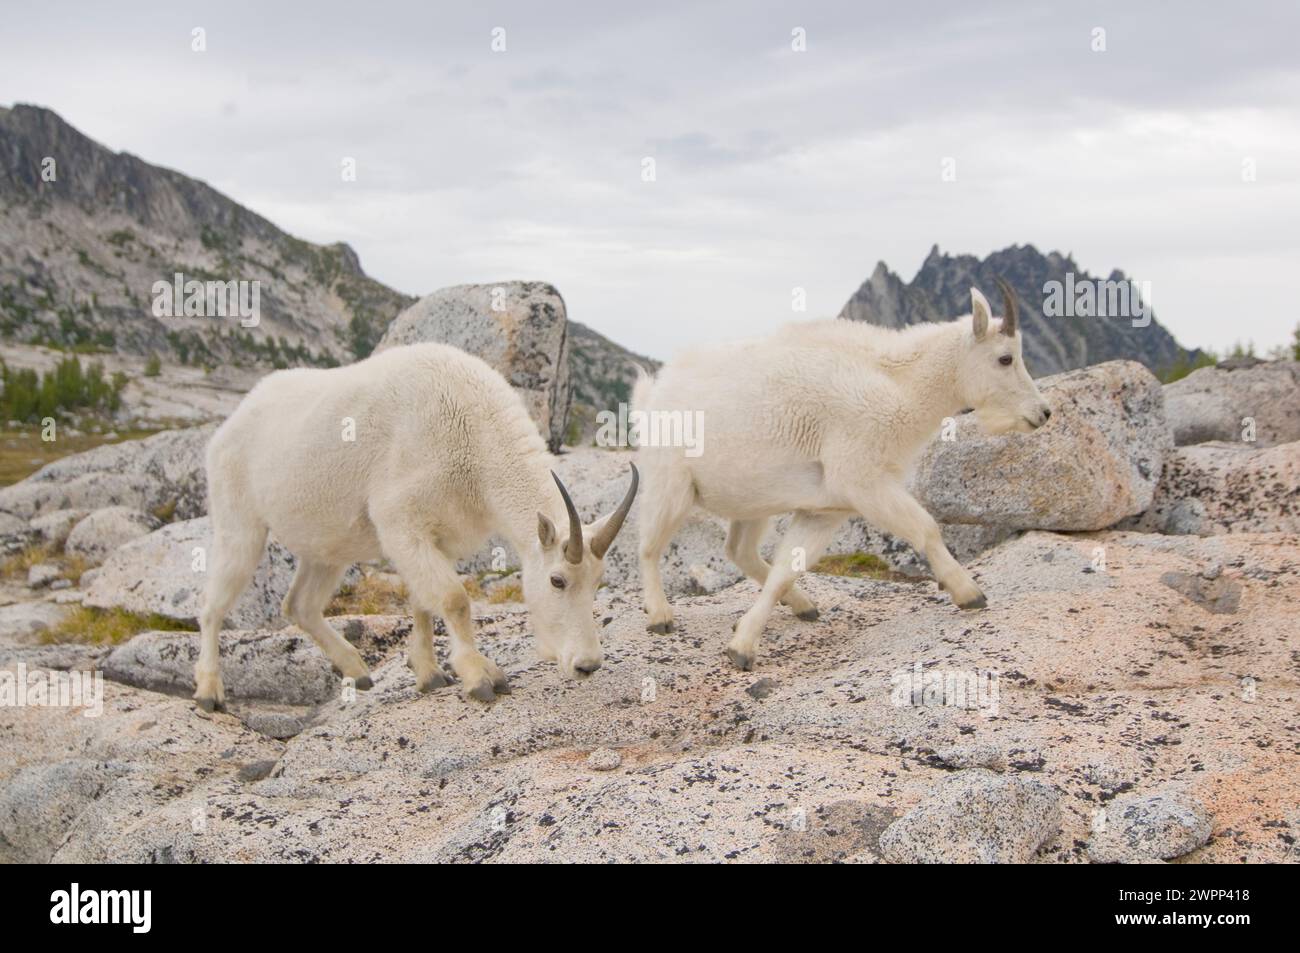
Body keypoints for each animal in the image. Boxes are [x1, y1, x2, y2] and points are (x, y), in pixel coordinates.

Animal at [194, 342, 637, 710]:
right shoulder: (400, 521)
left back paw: (357, 670)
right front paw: (479, 676)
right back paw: (208, 692)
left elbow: (423, 601)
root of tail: (228, 427)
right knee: (213, 606)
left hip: (326, 547)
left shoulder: (434, 537)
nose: (587, 665)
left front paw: (429, 675)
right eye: (557, 580)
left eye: (597, 582)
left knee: (298, 604)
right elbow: (454, 600)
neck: (473, 432)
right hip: (239, 524)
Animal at [634, 280, 1050, 670]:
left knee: (740, 551)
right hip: (669, 484)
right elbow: (927, 528)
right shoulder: (864, 482)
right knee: (649, 546)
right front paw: (969, 592)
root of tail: (653, 394)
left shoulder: (825, 510)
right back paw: (659, 615)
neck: (900, 389)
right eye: (1005, 358)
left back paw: (802, 604)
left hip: (752, 501)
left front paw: (743, 643)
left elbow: (787, 569)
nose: (1043, 413)